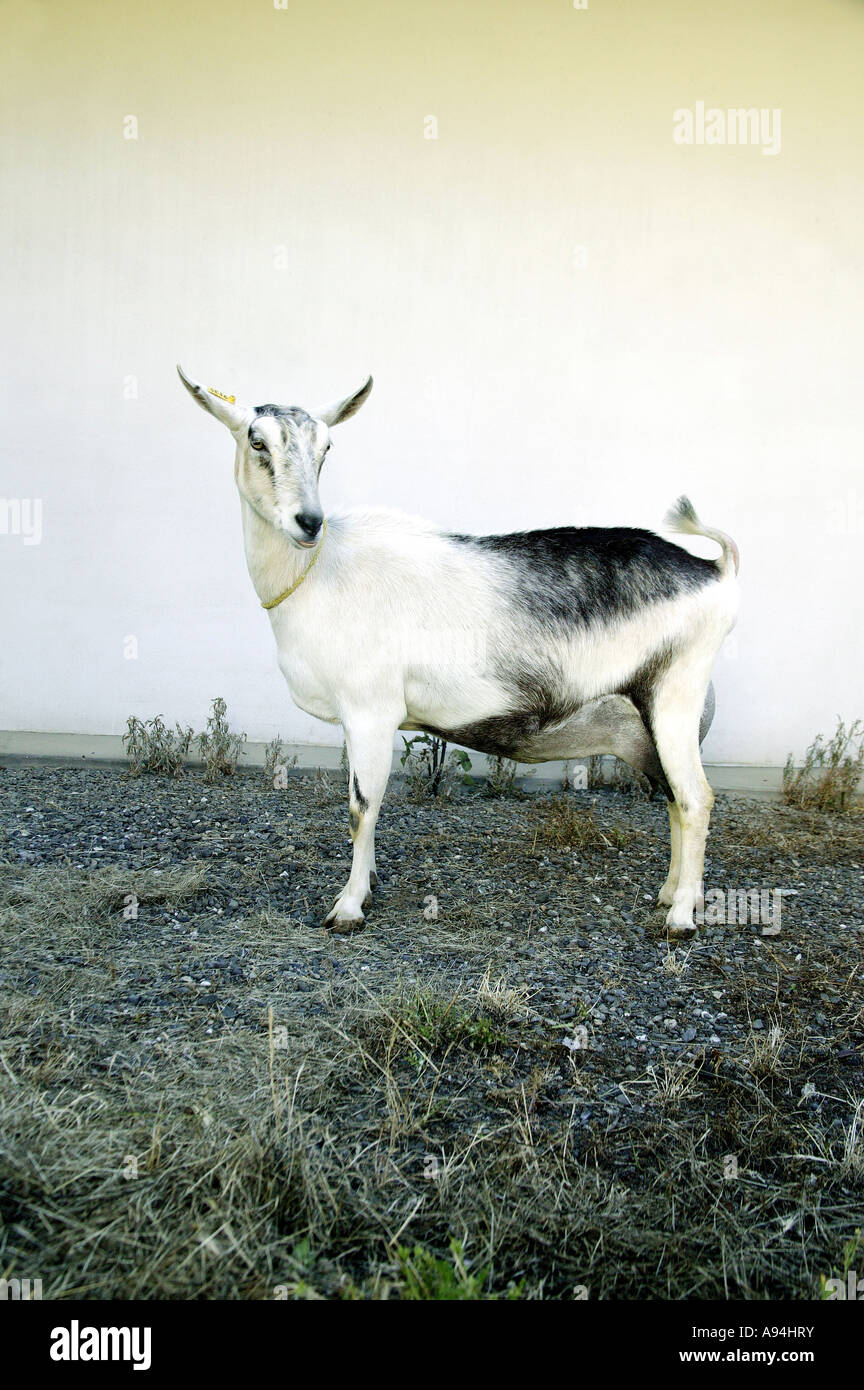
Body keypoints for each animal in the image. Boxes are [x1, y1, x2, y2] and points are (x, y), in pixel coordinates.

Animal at [178, 366, 739, 937]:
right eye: (257, 441)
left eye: (326, 446)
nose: (308, 522)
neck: (317, 573)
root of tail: (716, 570)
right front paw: (370, 883)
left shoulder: (371, 710)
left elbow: (362, 807)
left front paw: (349, 906)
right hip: (649, 724)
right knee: (673, 797)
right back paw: (673, 895)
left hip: (676, 697)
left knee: (696, 798)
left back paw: (680, 917)